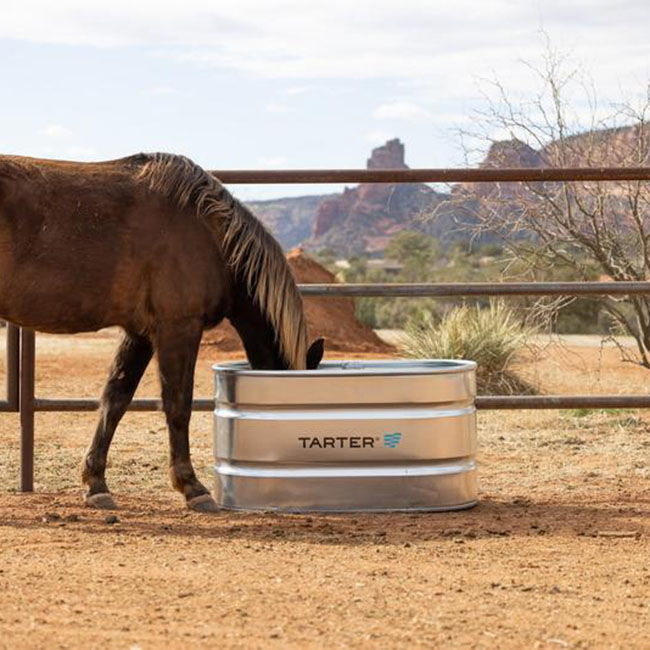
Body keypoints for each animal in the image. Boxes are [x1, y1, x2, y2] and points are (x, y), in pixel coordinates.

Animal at [0, 152, 324, 512]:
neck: (210, 235)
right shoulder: (178, 327)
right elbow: (178, 404)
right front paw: (192, 487)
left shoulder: (139, 334)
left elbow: (115, 399)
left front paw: (96, 483)